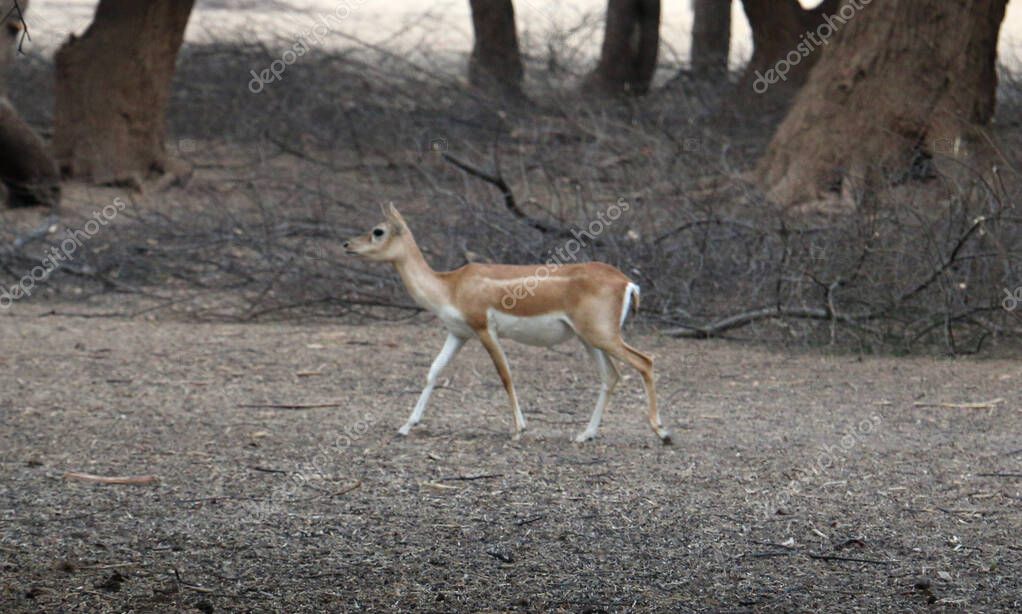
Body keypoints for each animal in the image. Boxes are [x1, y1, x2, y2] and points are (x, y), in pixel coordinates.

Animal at [343, 204, 670, 444]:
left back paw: (662, 432)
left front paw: (518, 430)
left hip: (603, 336)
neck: (450, 286)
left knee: (645, 361)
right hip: (588, 338)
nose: (347, 244)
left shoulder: (484, 330)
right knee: (611, 376)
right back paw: (584, 435)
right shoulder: (458, 334)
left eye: (378, 230)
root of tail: (627, 283)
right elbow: (433, 371)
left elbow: (505, 375)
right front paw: (405, 426)